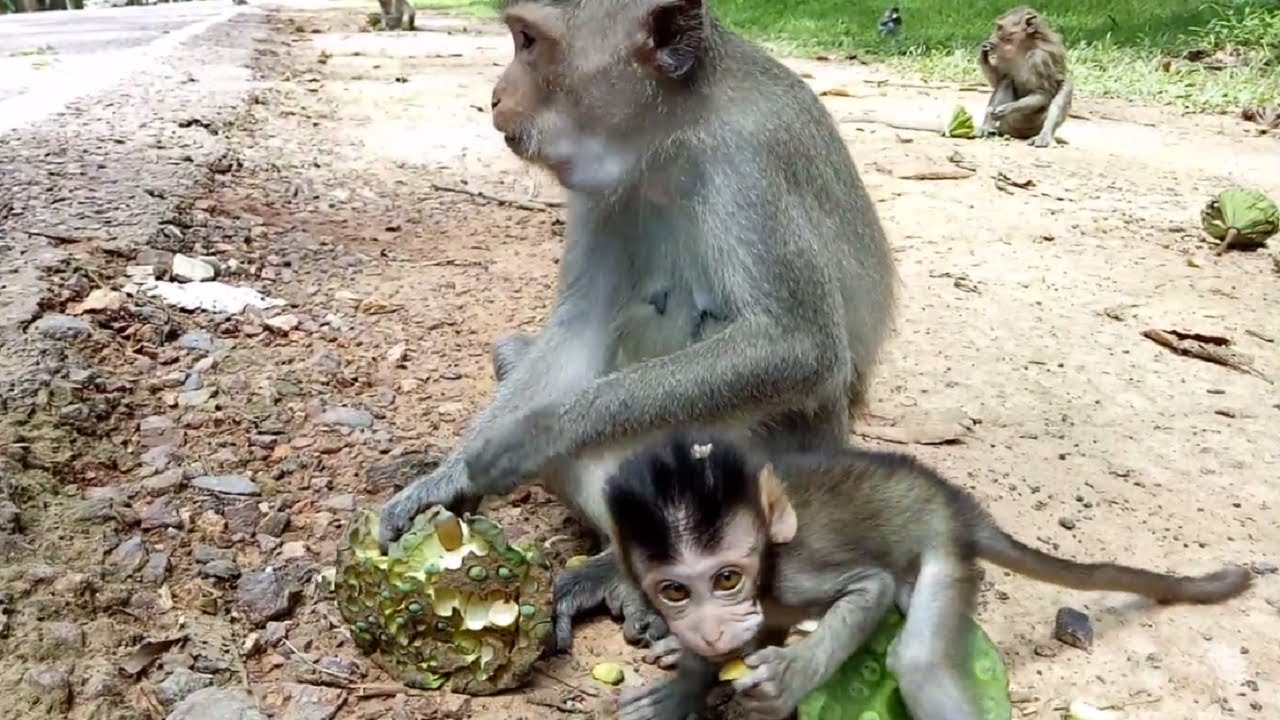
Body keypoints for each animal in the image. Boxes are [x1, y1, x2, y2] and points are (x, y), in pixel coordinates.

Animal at [373, 0, 898, 655]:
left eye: (528, 41)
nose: (495, 95)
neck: (674, 130)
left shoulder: (750, 161)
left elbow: (798, 347)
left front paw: (539, 432)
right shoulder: (600, 180)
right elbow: (580, 327)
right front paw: (448, 478)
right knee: (516, 355)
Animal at [604, 432, 1254, 720]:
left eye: (727, 579)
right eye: (674, 591)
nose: (712, 630)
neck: (764, 574)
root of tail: (956, 505)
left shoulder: (794, 576)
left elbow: (868, 587)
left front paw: (792, 674)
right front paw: (680, 690)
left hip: (941, 551)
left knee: (917, 658)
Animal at [977, 6, 1073, 148]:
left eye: (1000, 26)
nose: (994, 35)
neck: (1023, 46)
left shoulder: (1039, 58)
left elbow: (1042, 94)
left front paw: (1007, 108)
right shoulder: (1002, 53)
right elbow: (997, 80)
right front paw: (984, 55)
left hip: (1033, 124)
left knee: (1066, 86)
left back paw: (1044, 136)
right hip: (1008, 124)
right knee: (1006, 79)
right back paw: (987, 128)